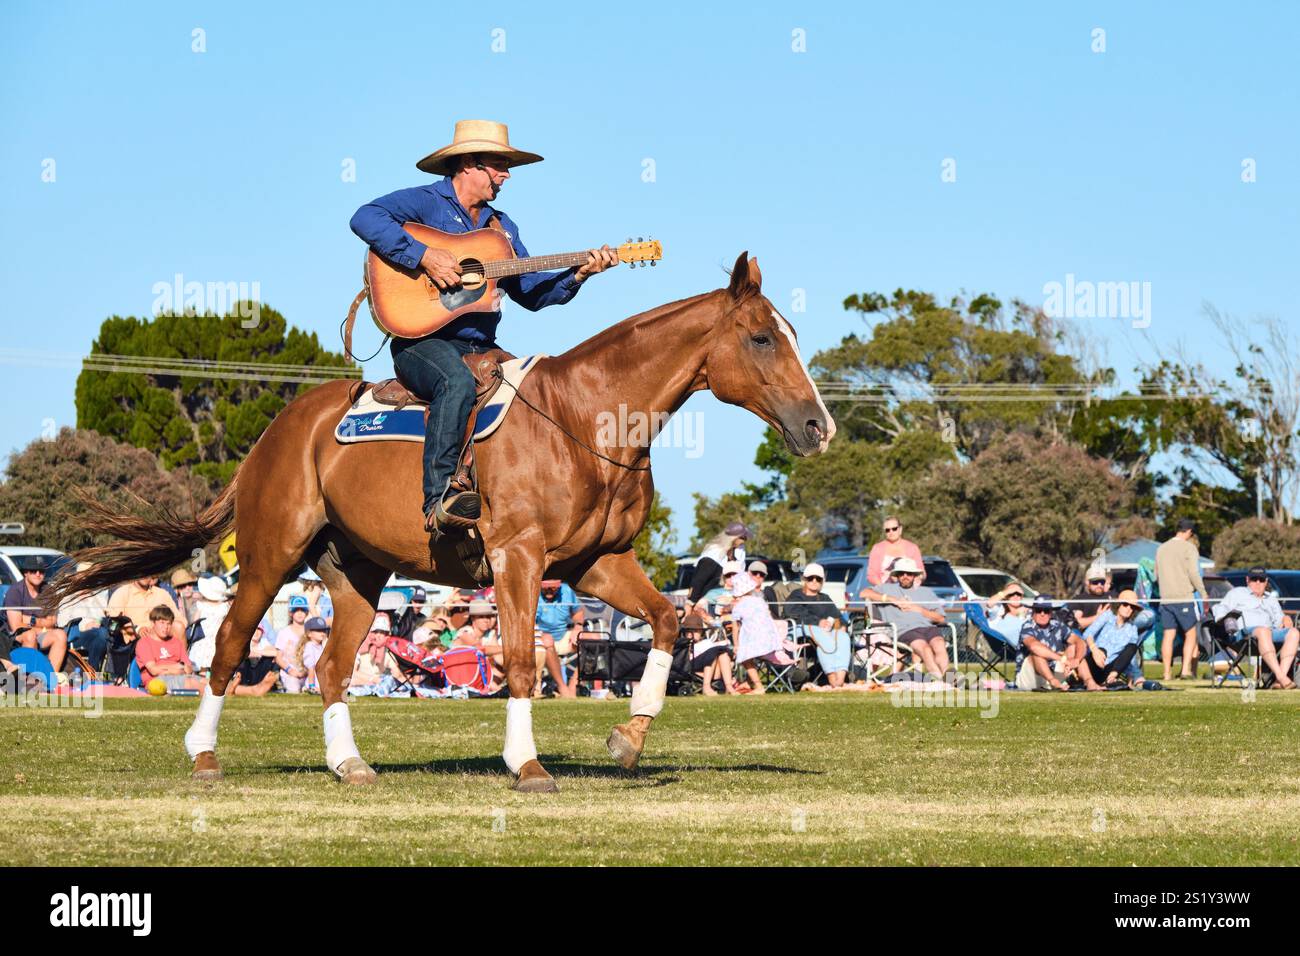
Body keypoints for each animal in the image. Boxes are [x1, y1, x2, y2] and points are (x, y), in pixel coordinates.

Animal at [51, 252, 835, 792]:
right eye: (763, 338)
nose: (817, 426)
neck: (584, 417)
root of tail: (277, 432)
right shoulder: (518, 558)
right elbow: (518, 660)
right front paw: (527, 765)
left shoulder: (597, 563)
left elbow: (670, 622)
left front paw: (629, 738)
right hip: (272, 553)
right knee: (228, 648)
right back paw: (204, 754)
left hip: (357, 574)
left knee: (332, 669)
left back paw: (349, 764)